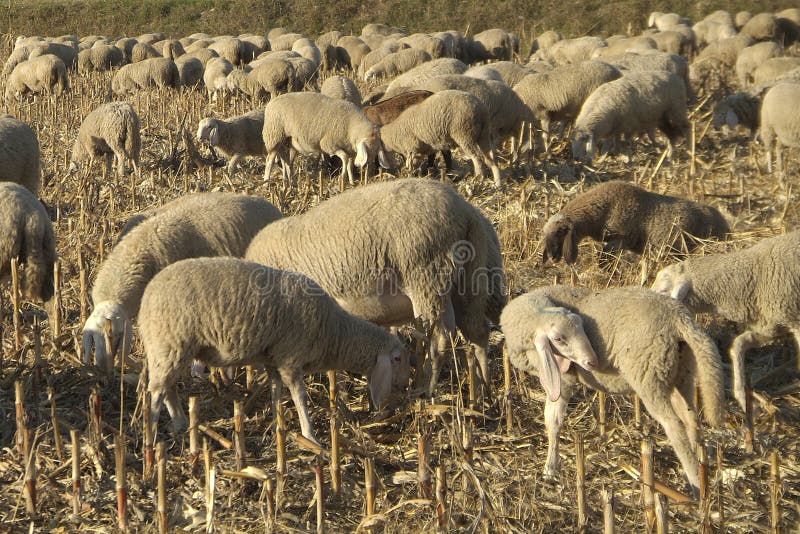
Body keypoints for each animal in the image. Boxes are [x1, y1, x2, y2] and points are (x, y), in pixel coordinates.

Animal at [142, 258, 410, 444]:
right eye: (397, 359)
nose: (405, 387)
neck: (334, 332)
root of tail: (147, 296)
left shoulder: (273, 357)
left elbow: (275, 389)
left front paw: (276, 421)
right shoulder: (291, 357)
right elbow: (299, 395)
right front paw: (309, 435)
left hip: (170, 350)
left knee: (167, 388)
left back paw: (179, 423)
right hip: (171, 344)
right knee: (156, 392)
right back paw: (152, 437)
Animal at [245, 178, 506, 395]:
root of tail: (467, 212)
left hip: (427, 276)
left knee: (440, 338)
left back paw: (428, 389)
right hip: (472, 281)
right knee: (478, 329)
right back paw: (483, 386)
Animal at [501, 285, 724, 490]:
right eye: (559, 339)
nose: (592, 361)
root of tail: (679, 318)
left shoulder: (563, 378)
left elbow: (553, 421)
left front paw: (550, 469)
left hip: (648, 374)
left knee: (673, 423)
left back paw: (694, 480)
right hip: (679, 373)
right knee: (691, 418)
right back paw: (700, 465)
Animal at [653, 230, 800, 413]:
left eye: (663, 290)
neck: (755, 274)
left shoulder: (794, 321)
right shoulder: (770, 327)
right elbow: (738, 345)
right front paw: (742, 397)